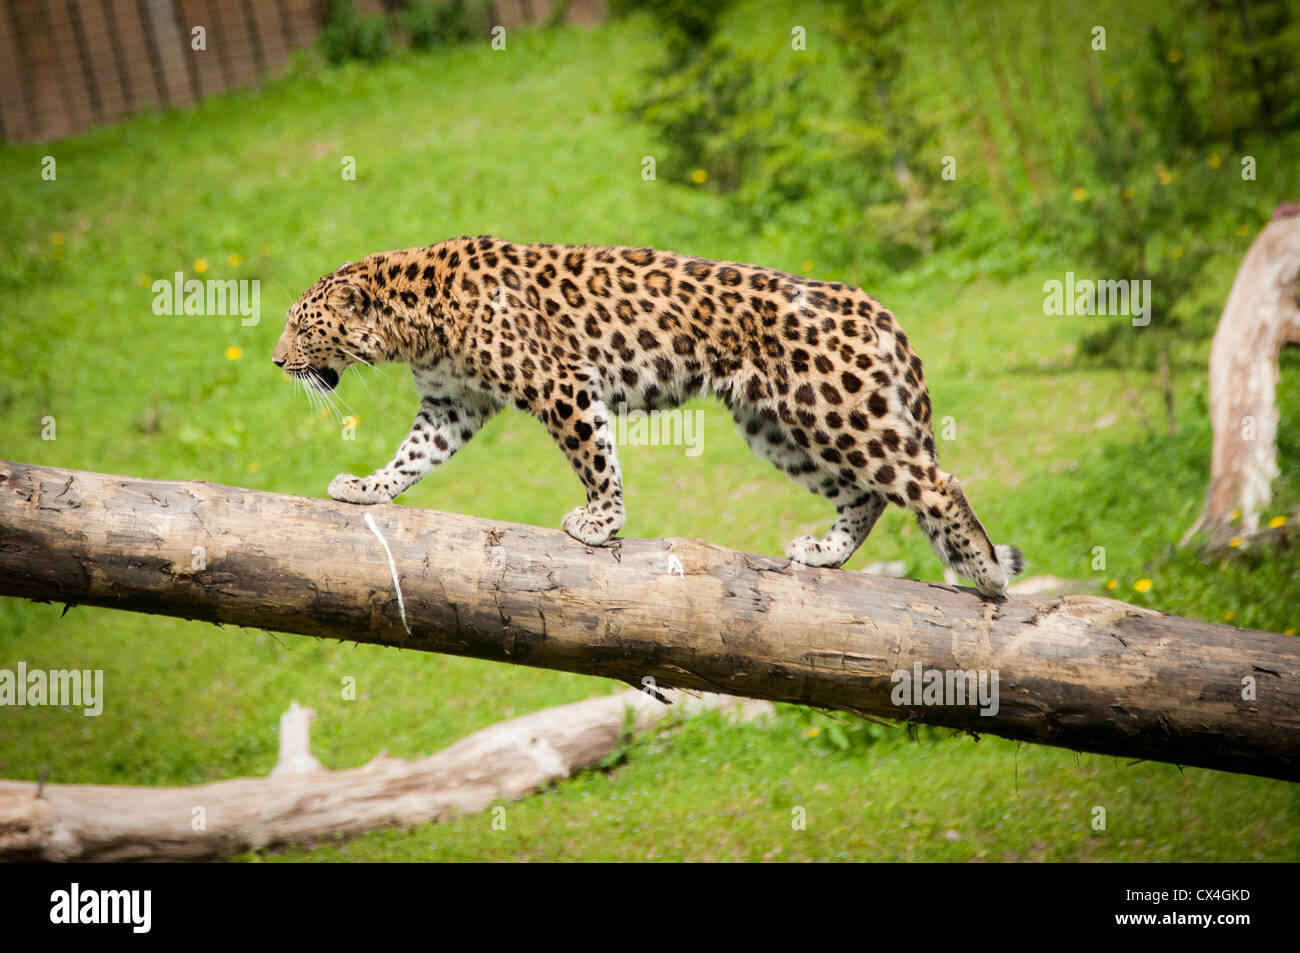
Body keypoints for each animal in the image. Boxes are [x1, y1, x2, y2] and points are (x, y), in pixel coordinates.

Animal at [272, 236, 1024, 596]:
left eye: (303, 328)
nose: (278, 362)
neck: (411, 320)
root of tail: (867, 301)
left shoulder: (562, 384)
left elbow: (594, 457)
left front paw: (599, 523)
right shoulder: (451, 403)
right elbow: (412, 455)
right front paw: (366, 488)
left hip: (834, 411)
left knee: (932, 483)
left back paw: (988, 574)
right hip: (774, 425)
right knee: (865, 496)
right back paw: (825, 552)